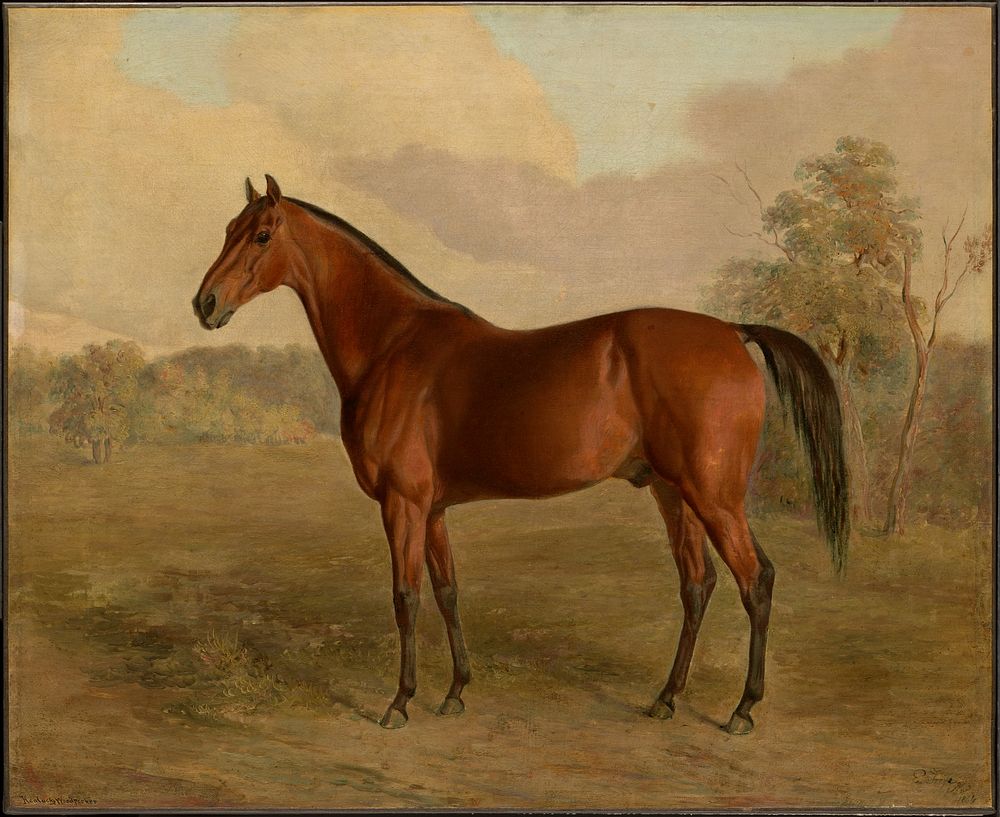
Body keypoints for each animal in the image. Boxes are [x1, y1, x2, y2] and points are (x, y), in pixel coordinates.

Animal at [194, 175, 849, 734]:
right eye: (227, 228)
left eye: (261, 235)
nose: (205, 304)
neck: (393, 345)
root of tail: (732, 332)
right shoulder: (433, 510)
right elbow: (447, 591)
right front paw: (455, 693)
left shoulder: (402, 504)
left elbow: (406, 597)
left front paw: (399, 703)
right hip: (674, 493)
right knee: (697, 584)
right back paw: (665, 699)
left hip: (714, 495)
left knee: (755, 580)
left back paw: (743, 709)